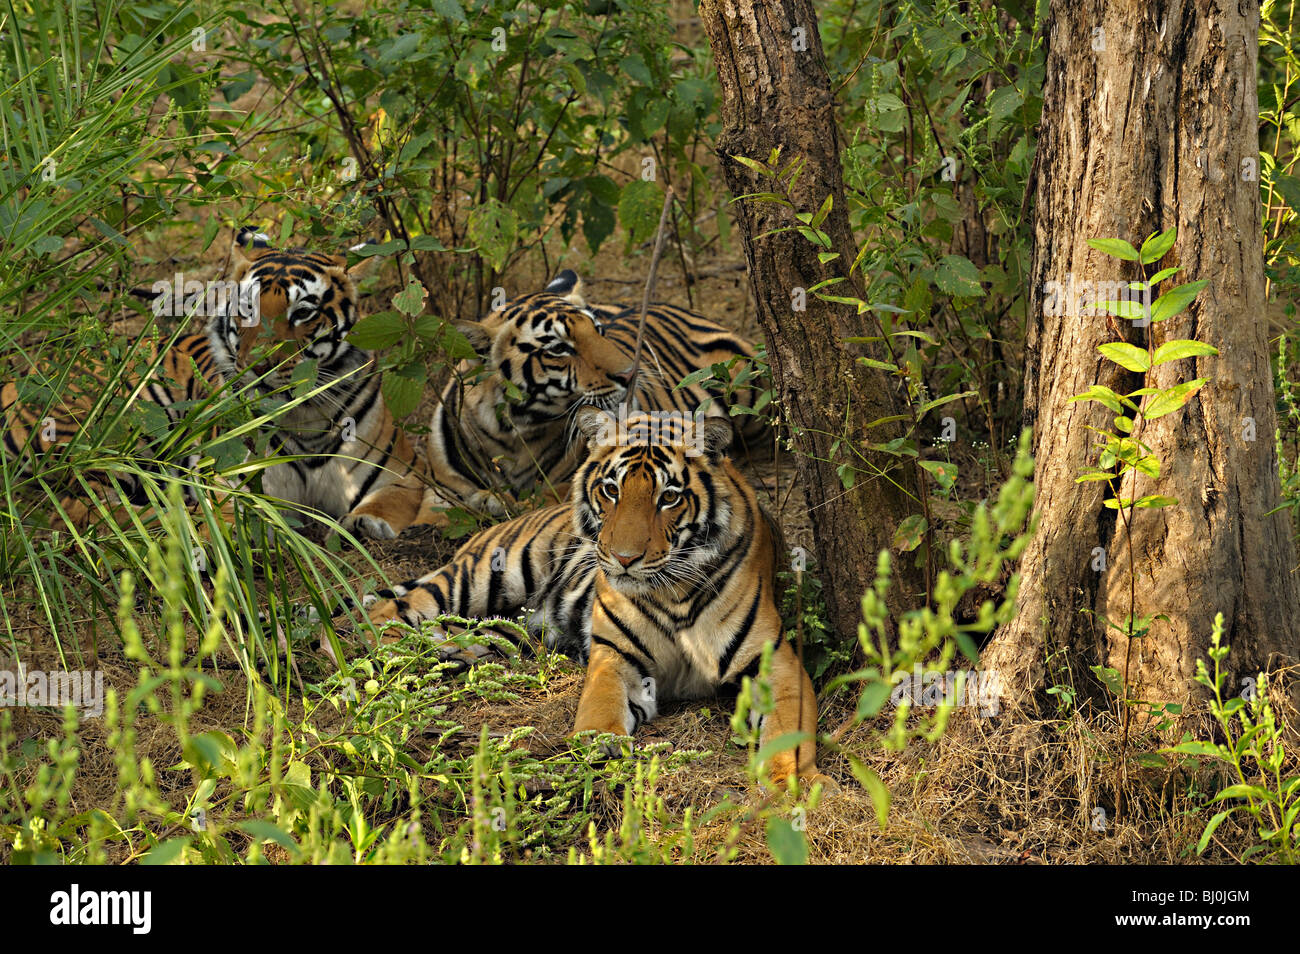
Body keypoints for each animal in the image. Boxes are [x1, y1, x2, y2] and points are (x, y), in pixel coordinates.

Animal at [1, 228, 426, 539]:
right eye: (248, 308)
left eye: (303, 312)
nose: (257, 366)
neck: (305, 417)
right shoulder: (234, 484)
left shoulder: (405, 473)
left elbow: (388, 502)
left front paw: (368, 522)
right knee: (81, 502)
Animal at [366, 406, 824, 785]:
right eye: (611, 490)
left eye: (669, 497)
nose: (624, 558)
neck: (673, 592)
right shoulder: (615, 656)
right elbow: (601, 706)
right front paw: (598, 744)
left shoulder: (776, 661)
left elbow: (786, 733)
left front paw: (795, 786)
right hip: (492, 572)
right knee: (393, 608)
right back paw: (393, 660)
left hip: (499, 631)